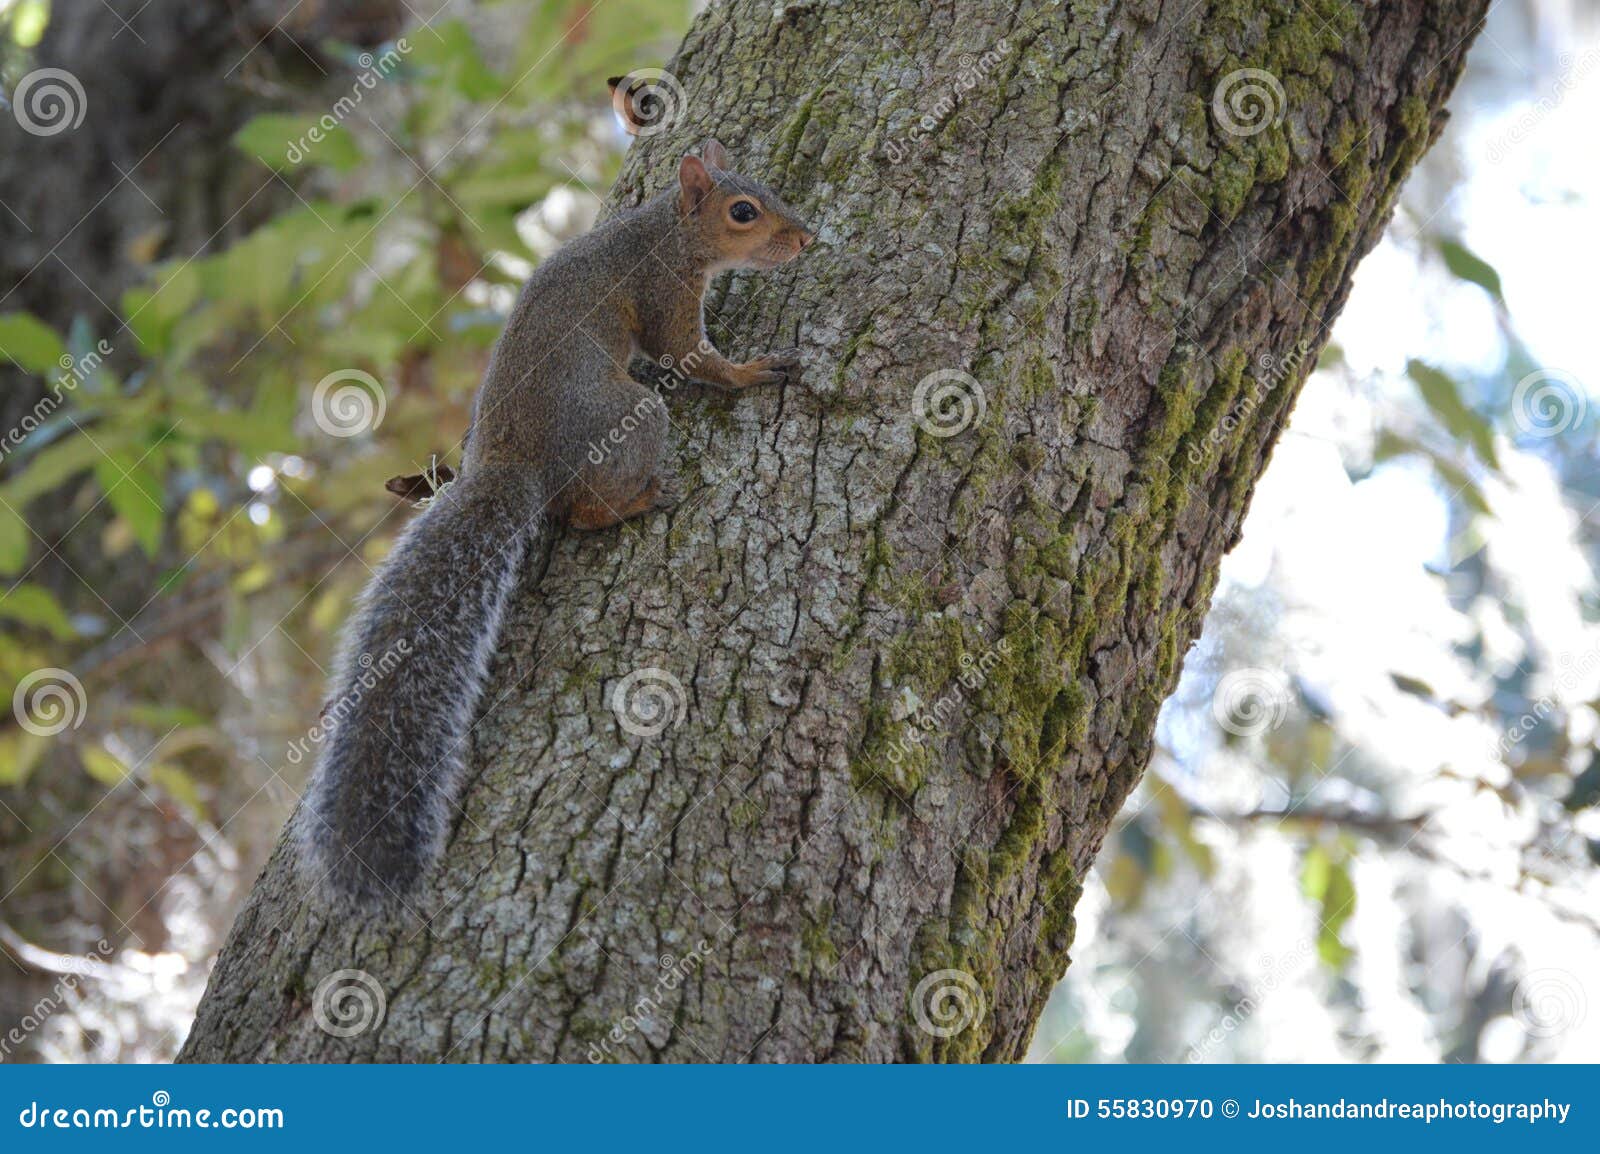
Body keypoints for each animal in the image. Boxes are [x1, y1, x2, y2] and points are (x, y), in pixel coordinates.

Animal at [298, 138, 814, 905]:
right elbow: (692, 359)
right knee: (579, 511)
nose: (804, 238)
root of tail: (513, 460)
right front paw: (750, 370)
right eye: (744, 212)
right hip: (628, 419)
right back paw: (637, 501)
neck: (662, 231)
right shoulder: (664, 294)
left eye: (772, 192)